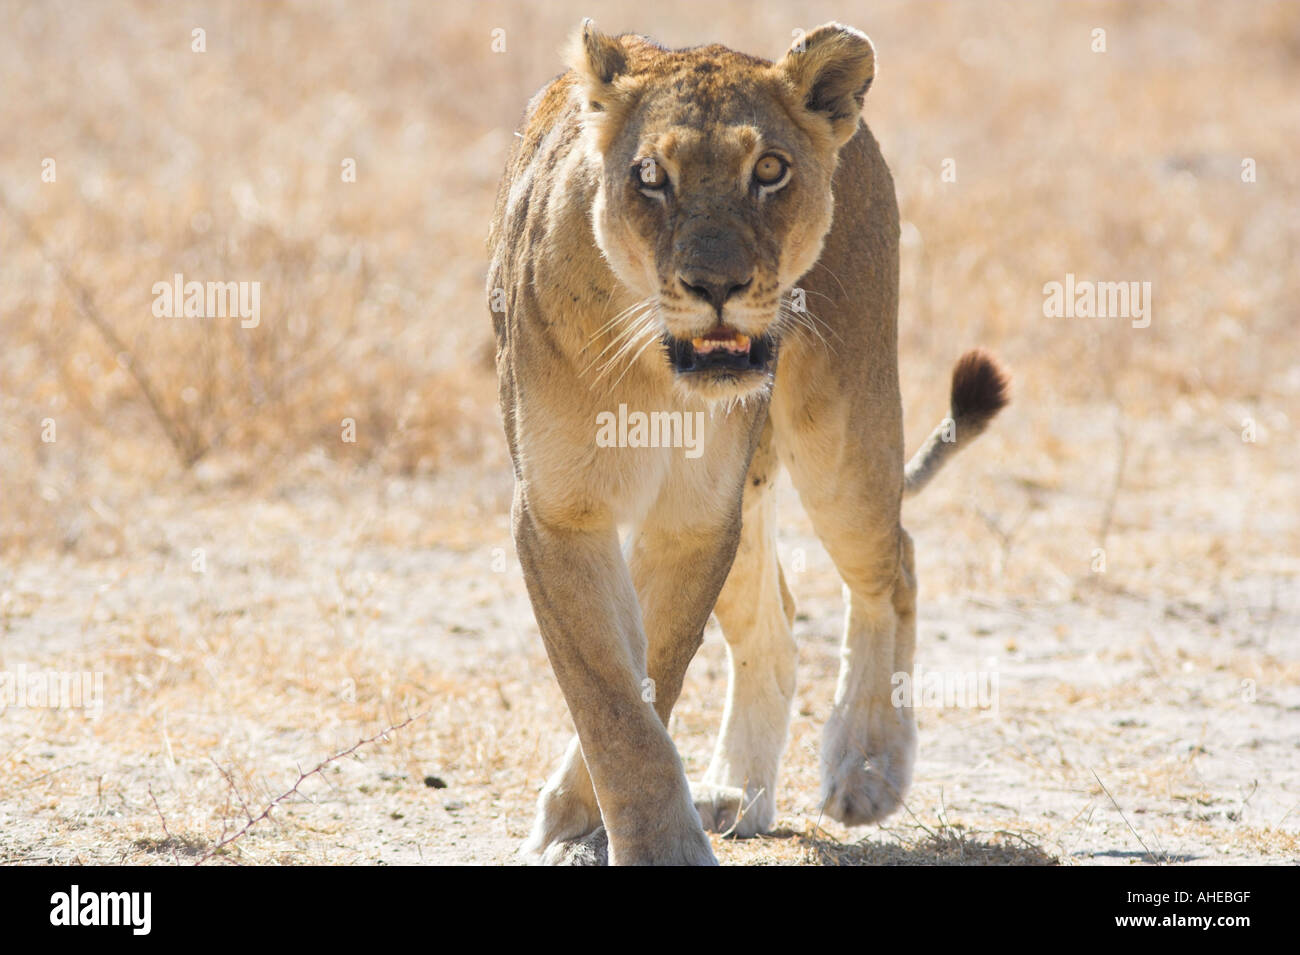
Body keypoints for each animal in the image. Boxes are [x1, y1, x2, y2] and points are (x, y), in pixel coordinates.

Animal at [487, 20, 1008, 865]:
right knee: (778, 622)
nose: (716, 285)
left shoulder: (696, 519)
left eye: (768, 170)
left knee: (892, 563)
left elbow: (653, 672)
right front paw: (606, 830)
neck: (652, 369)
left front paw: (612, 833)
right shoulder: (560, 513)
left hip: (841, 437)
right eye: (650, 176)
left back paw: (867, 764)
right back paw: (736, 792)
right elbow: (611, 695)